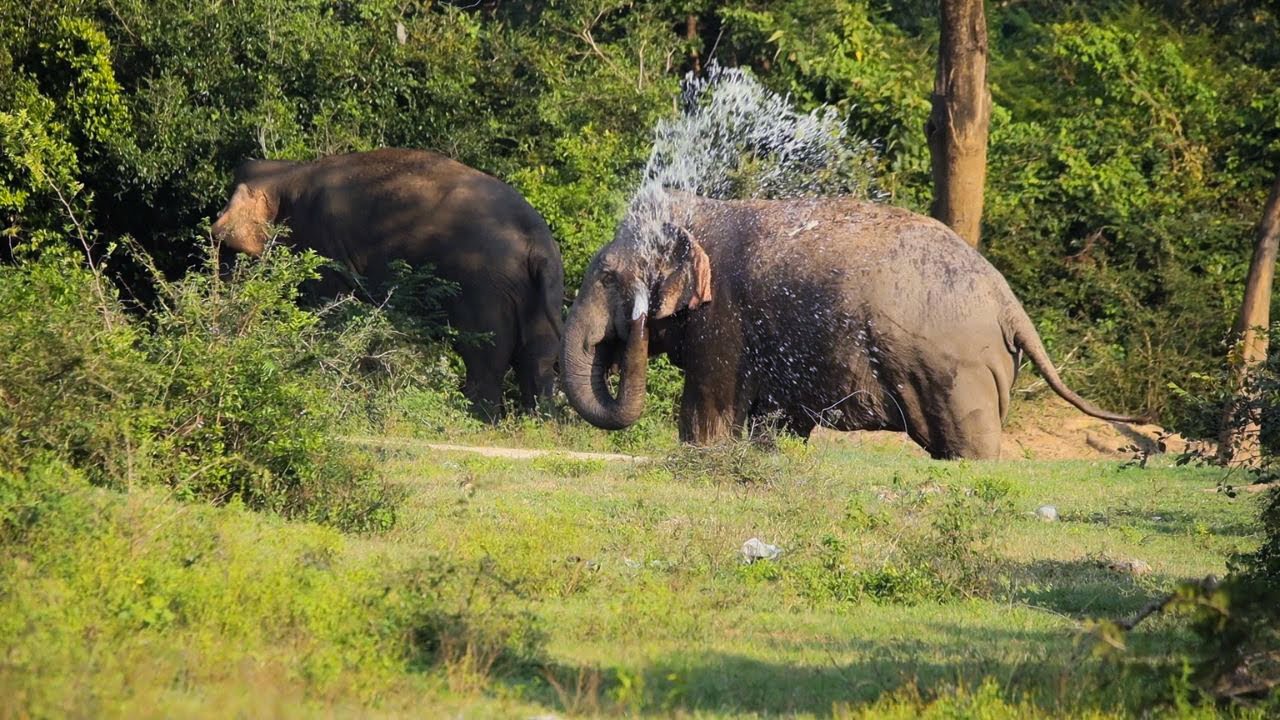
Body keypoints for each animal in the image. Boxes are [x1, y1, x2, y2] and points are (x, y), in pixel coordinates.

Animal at [212, 148, 563, 416]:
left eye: (226, 248)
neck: (285, 172)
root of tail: (537, 242)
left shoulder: (321, 243)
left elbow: (332, 310)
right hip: (537, 289)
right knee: (537, 358)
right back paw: (537, 424)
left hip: (483, 284)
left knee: (485, 356)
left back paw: (477, 420)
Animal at [561, 192, 1145, 459]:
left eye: (608, 277)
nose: (633, 324)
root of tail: (1010, 304)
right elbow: (774, 422)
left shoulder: (722, 321)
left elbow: (708, 411)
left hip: (959, 374)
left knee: (968, 445)